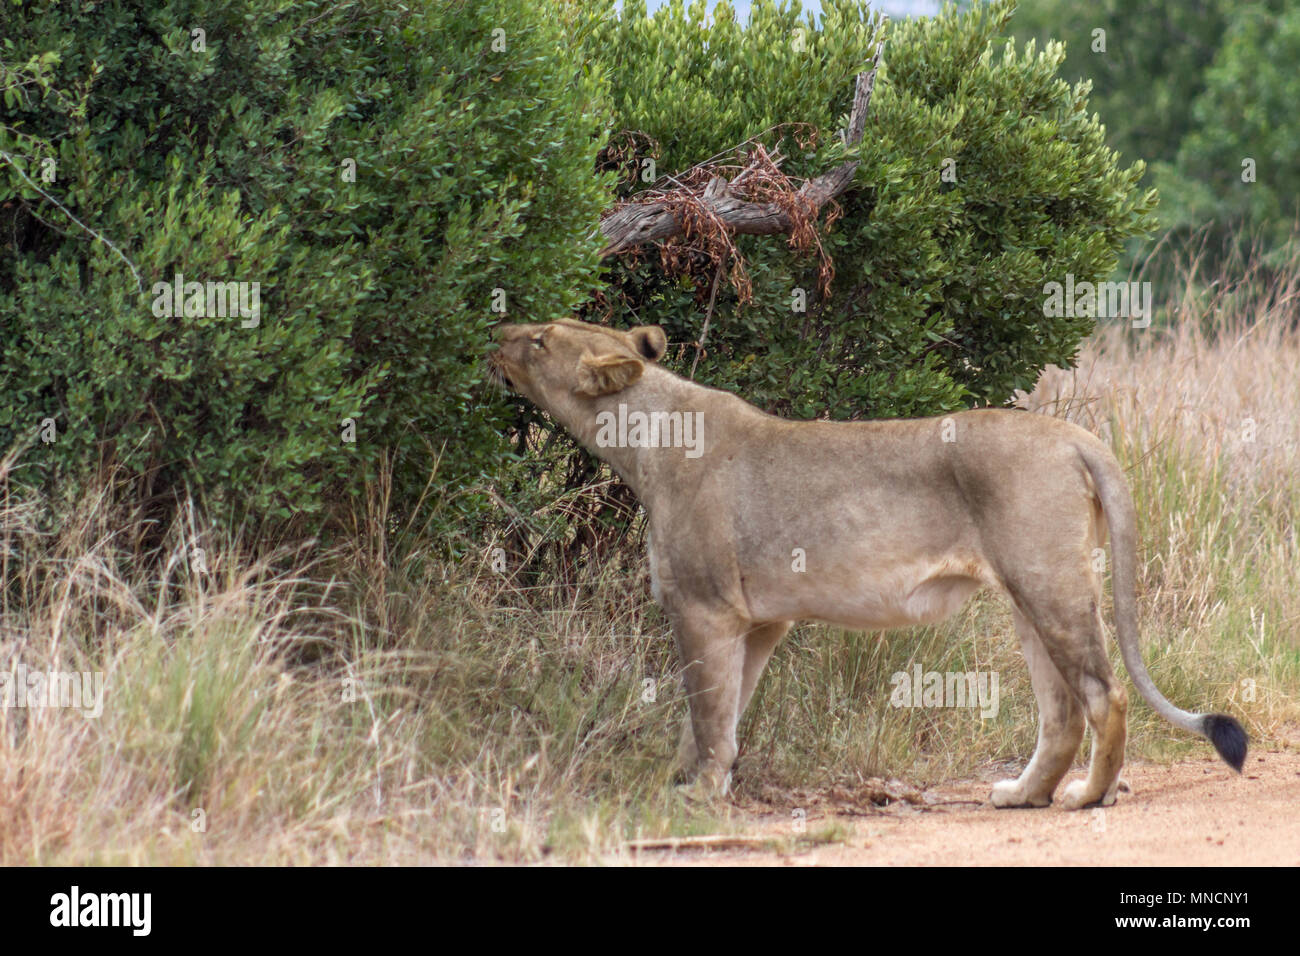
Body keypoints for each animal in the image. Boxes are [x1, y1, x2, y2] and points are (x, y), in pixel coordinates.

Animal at [488, 318, 1247, 809]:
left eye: (540, 340)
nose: (497, 332)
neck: (645, 437)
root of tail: (1074, 436)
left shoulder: (704, 606)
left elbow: (703, 710)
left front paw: (694, 794)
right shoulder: (759, 621)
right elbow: (721, 714)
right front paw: (695, 782)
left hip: (1047, 581)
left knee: (1102, 692)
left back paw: (1089, 794)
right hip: (1027, 591)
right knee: (1059, 710)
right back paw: (1023, 794)